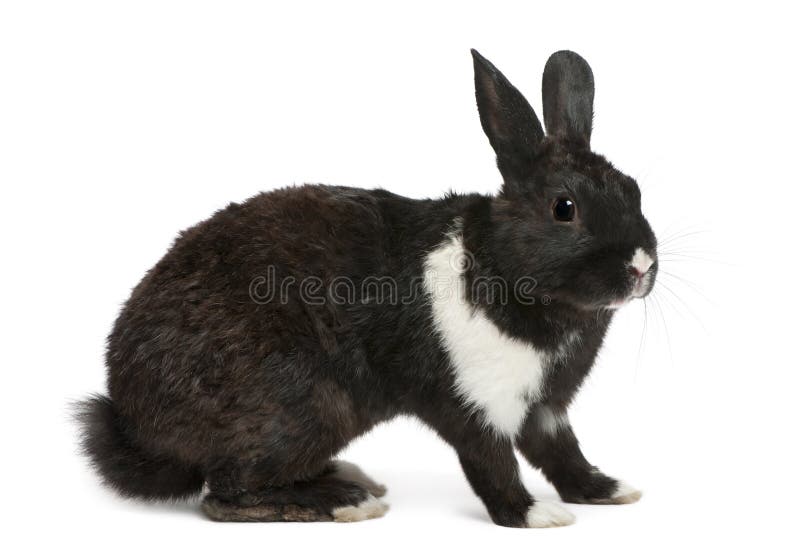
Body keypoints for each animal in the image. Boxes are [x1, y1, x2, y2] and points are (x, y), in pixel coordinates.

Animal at [77, 49, 657, 528]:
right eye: (564, 208)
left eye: (634, 190)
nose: (641, 265)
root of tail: (133, 422)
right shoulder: (474, 400)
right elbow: (492, 461)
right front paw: (536, 516)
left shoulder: (546, 408)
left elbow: (563, 453)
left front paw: (611, 491)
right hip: (303, 404)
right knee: (226, 493)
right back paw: (347, 501)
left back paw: (350, 479)